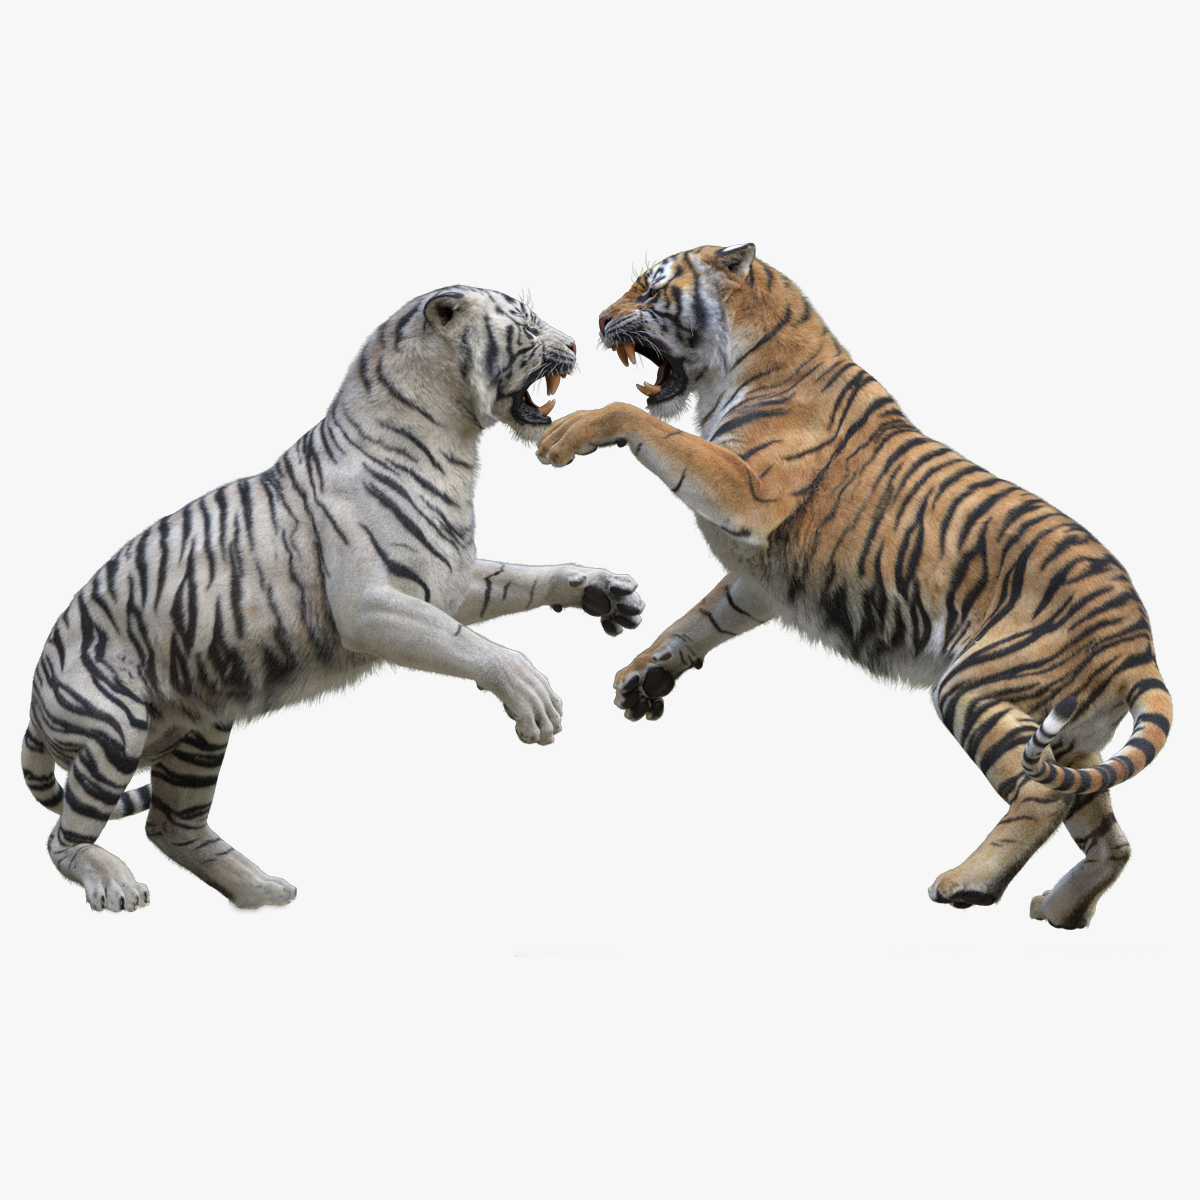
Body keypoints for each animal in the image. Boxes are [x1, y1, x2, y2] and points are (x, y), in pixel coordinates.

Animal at [22, 286, 645, 913]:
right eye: (527, 324)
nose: (574, 343)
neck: (456, 439)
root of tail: (33, 696)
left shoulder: (451, 580)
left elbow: (525, 578)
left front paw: (603, 589)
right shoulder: (370, 605)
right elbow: (475, 645)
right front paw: (532, 696)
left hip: (202, 730)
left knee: (172, 825)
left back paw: (261, 889)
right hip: (114, 725)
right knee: (63, 840)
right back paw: (116, 883)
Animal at [536, 242, 1170, 930]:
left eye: (650, 291)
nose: (601, 320)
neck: (740, 361)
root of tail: (1140, 645)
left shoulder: (747, 494)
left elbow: (645, 423)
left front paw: (567, 434)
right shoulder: (760, 578)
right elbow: (700, 618)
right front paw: (645, 675)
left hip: (975, 686)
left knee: (1039, 794)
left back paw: (968, 884)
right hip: (1075, 741)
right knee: (1105, 832)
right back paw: (1063, 909)